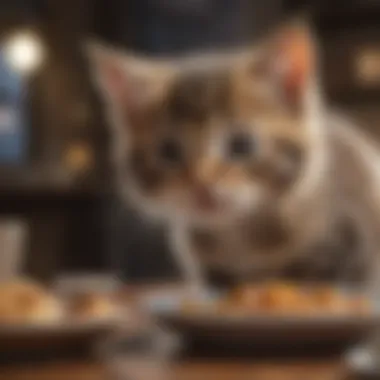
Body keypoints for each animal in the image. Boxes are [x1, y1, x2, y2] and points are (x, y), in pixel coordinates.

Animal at [87, 21, 380, 290]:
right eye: (169, 151)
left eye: (242, 145)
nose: (201, 184)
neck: (239, 237)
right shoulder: (213, 271)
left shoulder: (350, 244)